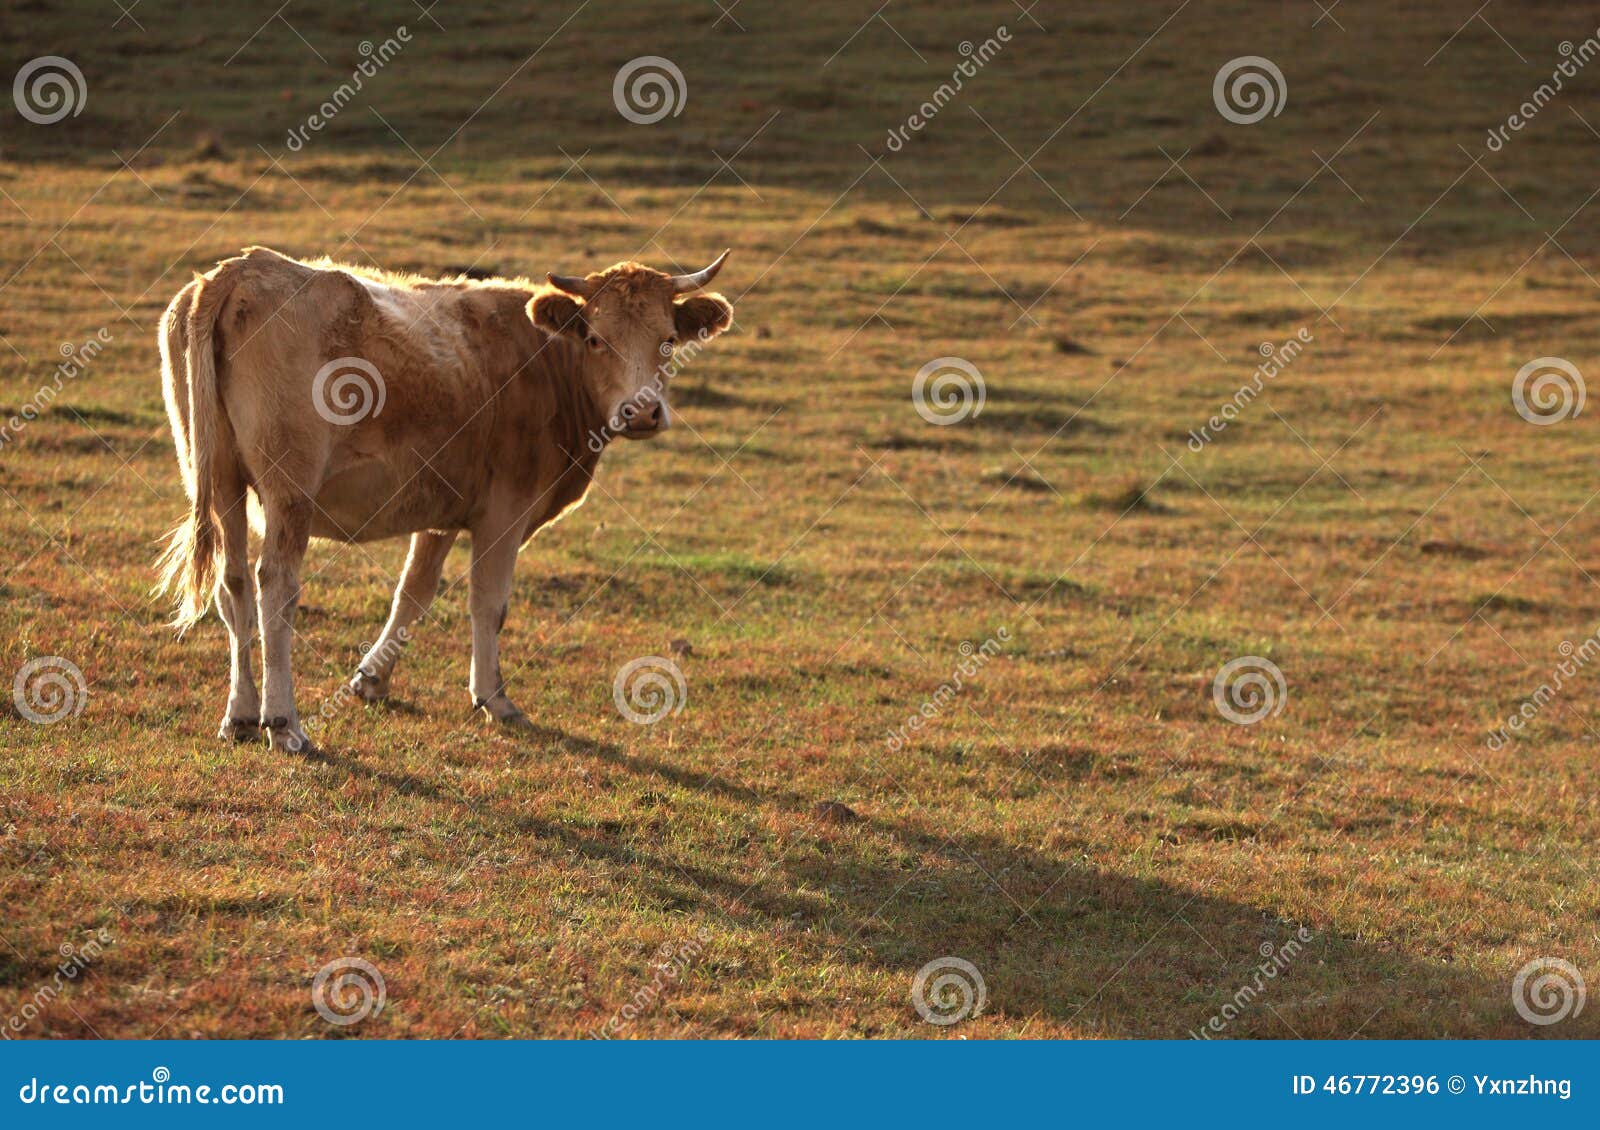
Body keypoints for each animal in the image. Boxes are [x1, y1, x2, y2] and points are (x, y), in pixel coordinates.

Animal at [156, 246, 734, 752]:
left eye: (668, 340)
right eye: (595, 338)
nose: (642, 412)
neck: (547, 366)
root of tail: (240, 271)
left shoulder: (440, 512)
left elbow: (413, 594)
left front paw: (371, 679)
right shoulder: (505, 511)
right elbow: (489, 602)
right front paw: (494, 698)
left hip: (220, 480)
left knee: (233, 586)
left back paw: (239, 716)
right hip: (288, 491)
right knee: (274, 587)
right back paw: (284, 723)